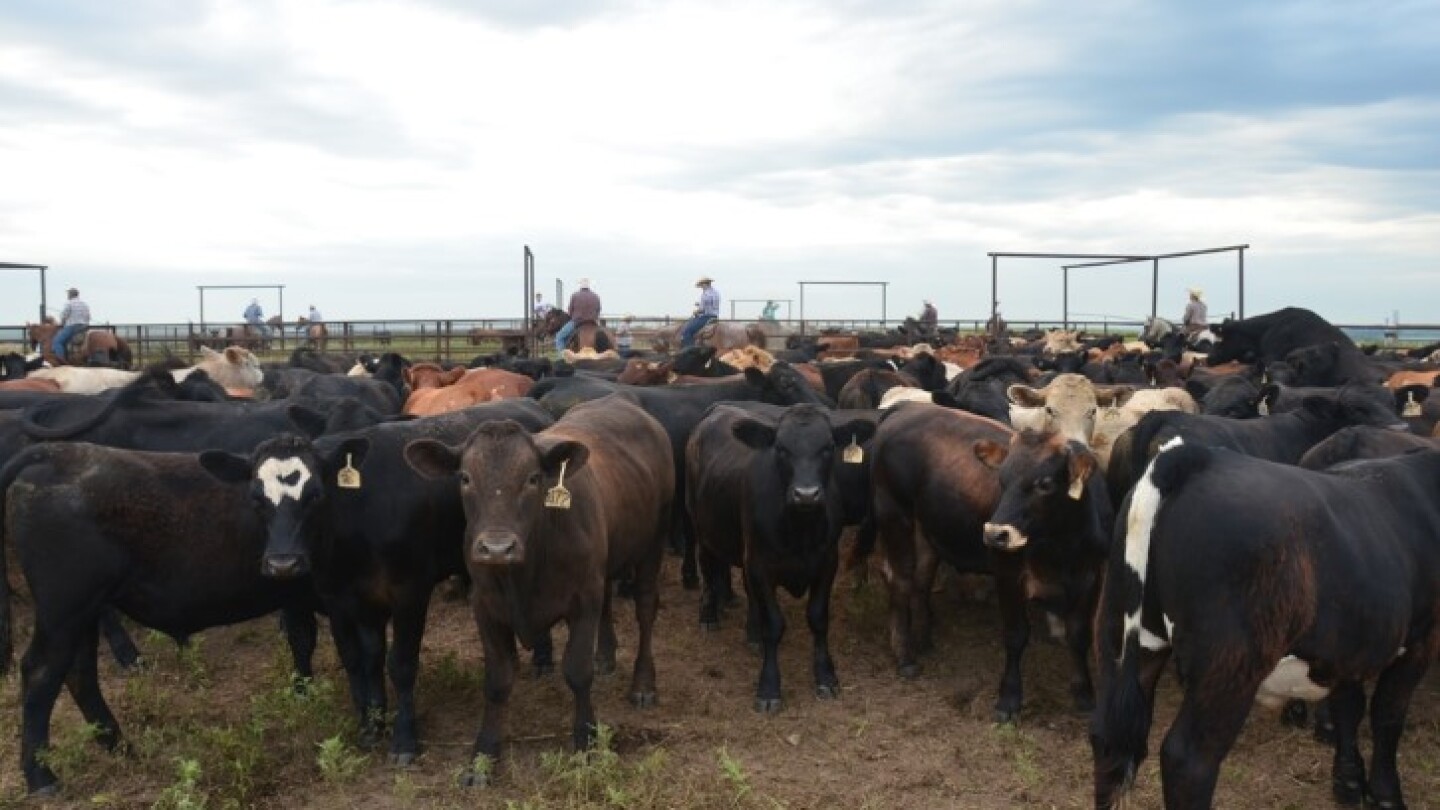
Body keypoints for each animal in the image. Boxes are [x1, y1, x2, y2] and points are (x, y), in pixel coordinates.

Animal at [0, 443, 320, 795]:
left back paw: (119, 746)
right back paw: (41, 776)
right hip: (64, 609)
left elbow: (302, 640)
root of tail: (53, 451)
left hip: (82, 614)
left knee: (79, 672)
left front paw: (304, 696)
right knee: (40, 673)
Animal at [199, 399, 555, 765]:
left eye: (316, 495)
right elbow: (360, 659)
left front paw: (404, 739)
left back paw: (543, 659)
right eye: (256, 499)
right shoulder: (342, 599)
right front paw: (371, 723)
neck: (358, 519)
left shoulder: (410, 592)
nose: (283, 564)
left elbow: (400, 663)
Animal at [402, 395, 673, 782]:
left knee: (646, 609)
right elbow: (497, 681)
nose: (496, 548)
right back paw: (606, 655)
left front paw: (587, 743)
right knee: (608, 598)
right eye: (465, 477)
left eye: (533, 478)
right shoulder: (485, 607)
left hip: (653, 544)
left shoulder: (582, 600)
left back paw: (643, 685)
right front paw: (483, 756)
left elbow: (578, 672)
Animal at [1092, 441, 1440, 810]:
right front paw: (1386, 794)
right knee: (1188, 759)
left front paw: (1349, 781)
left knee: (1106, 736)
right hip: (1229, 664)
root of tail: (1198, 455)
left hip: (1121, 634)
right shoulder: (1422, 637)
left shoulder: (1351, 645)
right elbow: (1387, 716)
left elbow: (1349, 706)